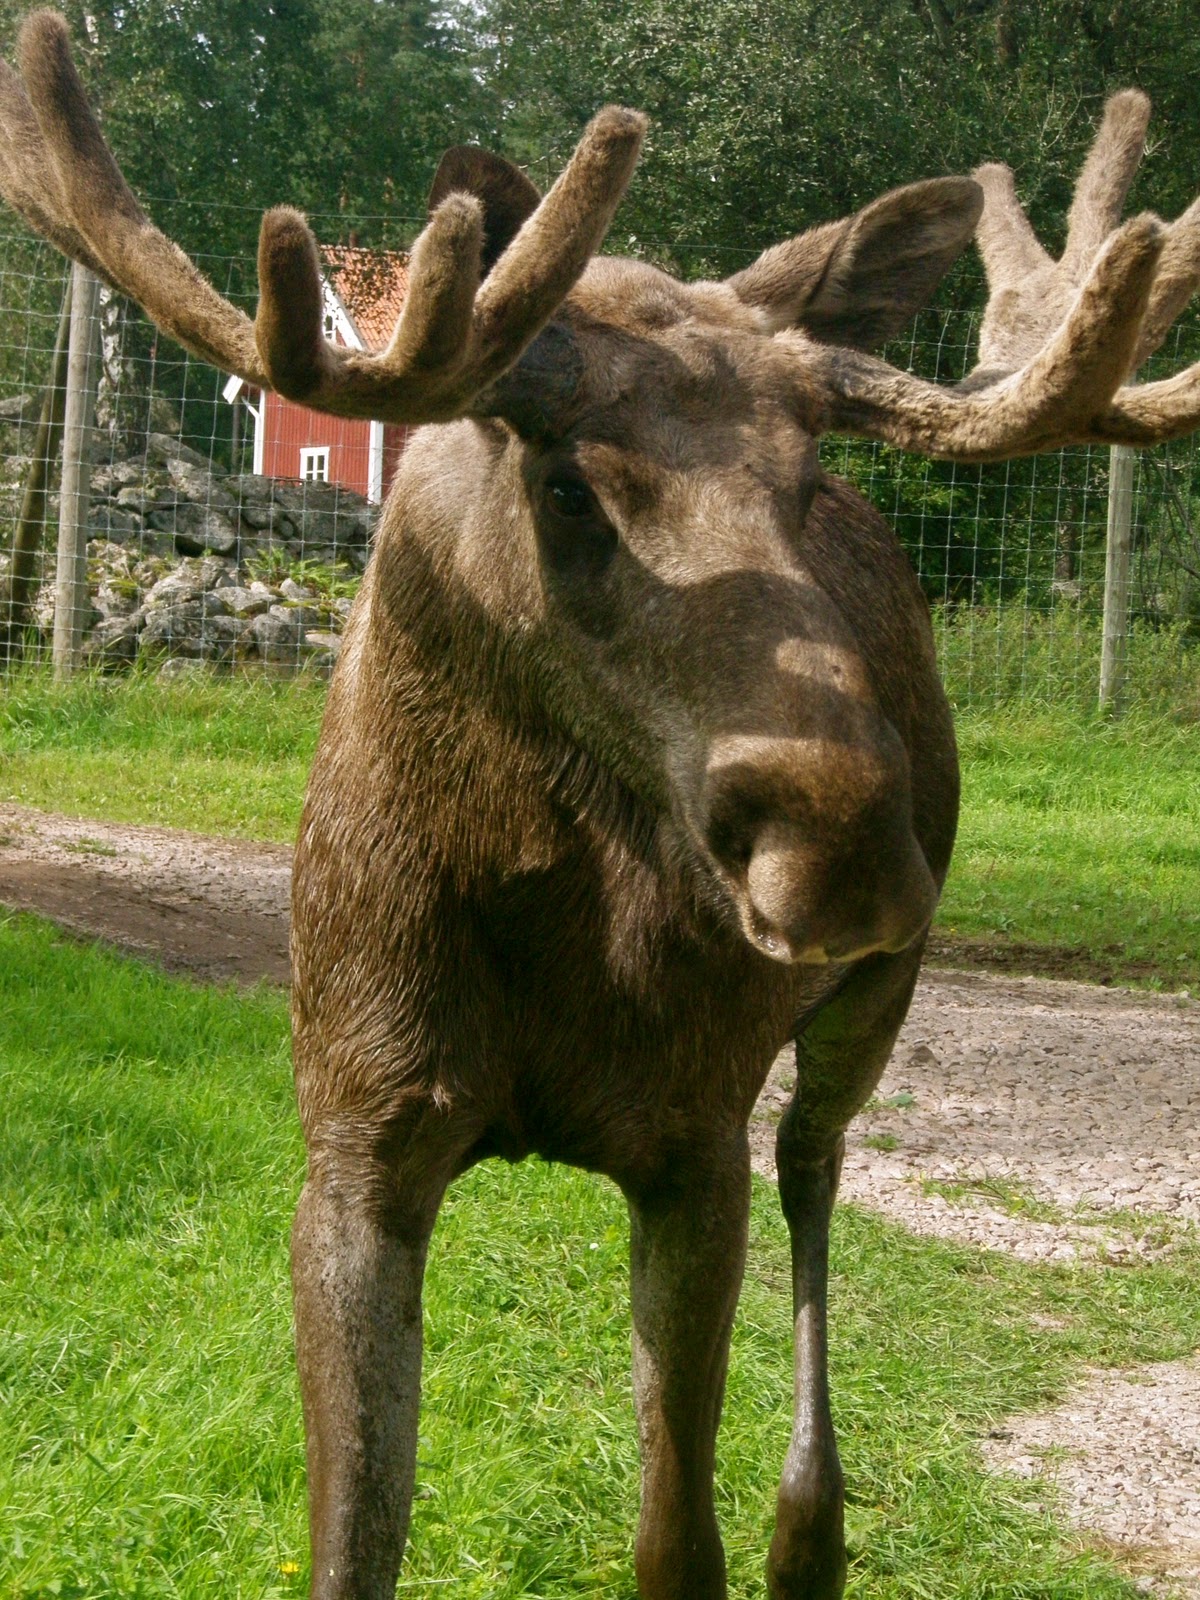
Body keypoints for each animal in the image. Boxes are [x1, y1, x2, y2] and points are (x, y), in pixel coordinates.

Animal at [4, 13, 1199, 1596]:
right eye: (569, 484)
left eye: (808, 481)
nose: (848, 848)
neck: (539, 924)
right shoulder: (353, 1135)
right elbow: (353, 1543)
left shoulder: (692, 1139)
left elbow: (673, 1538)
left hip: (868, 1010)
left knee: (815, 1171)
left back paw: (811, 1527)